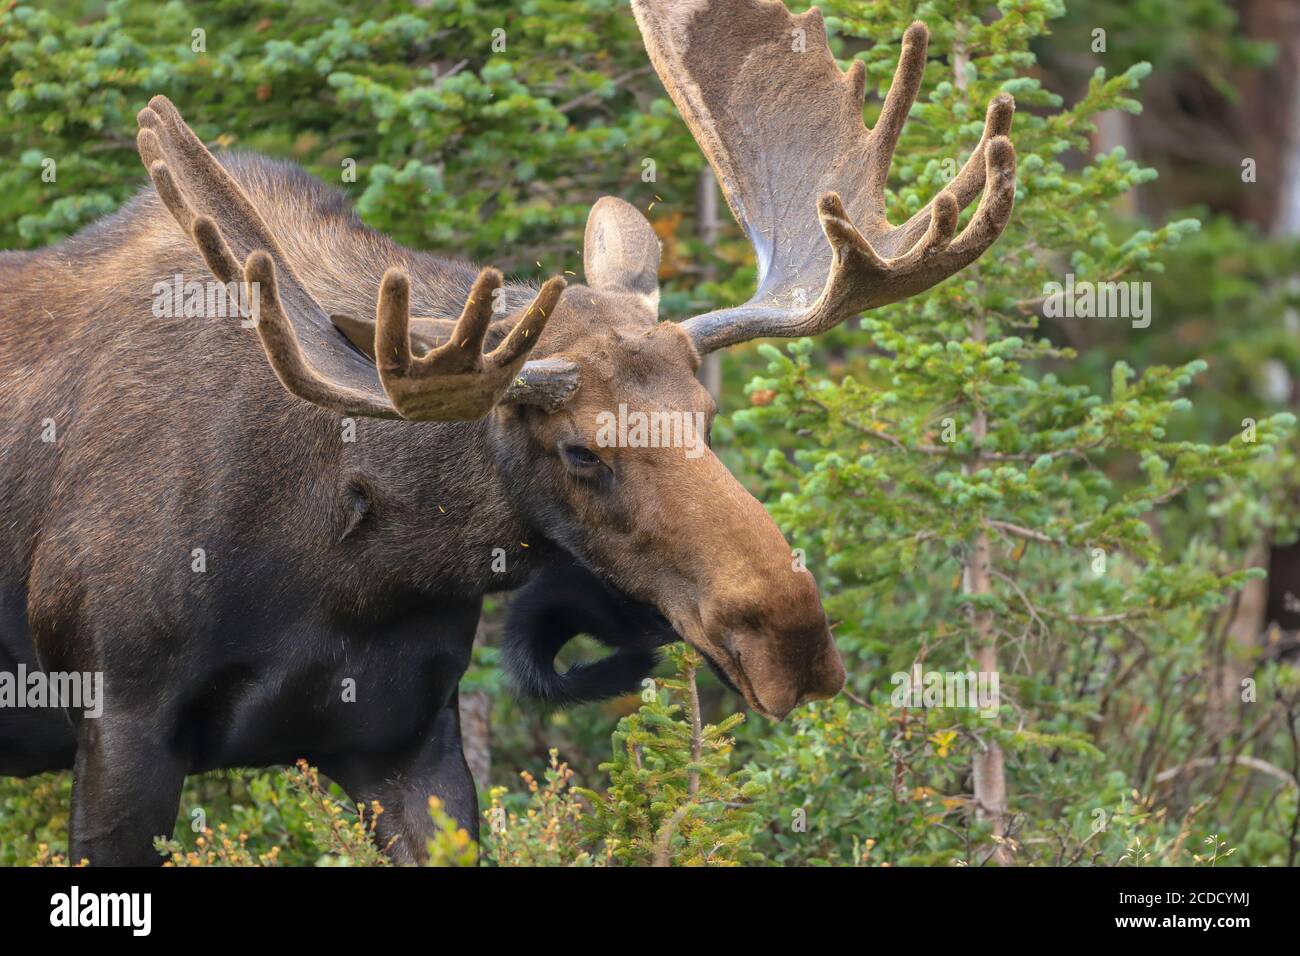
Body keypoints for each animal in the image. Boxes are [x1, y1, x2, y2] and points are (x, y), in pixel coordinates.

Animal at [0, 0, 1015, 864]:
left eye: (706, 415)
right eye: (581, 450)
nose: (794, 641)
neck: (346, 561)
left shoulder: (405, 738)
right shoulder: (121, 718)